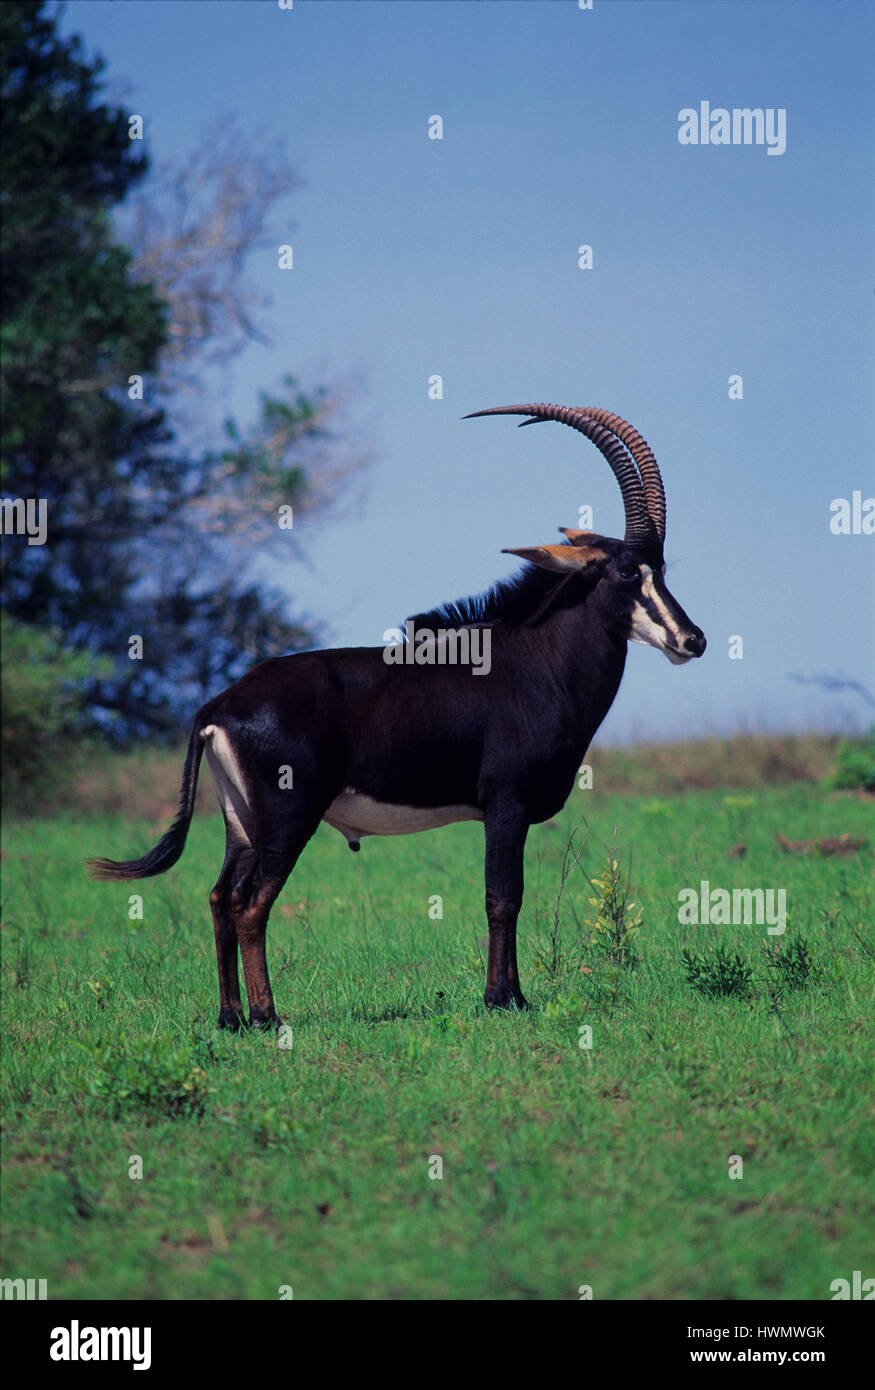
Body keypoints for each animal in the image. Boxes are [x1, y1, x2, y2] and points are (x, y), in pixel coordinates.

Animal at [88, 403, 706, 1026]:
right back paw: (268, 1016)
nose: (693, 640)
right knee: (251, 903)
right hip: (288, 819)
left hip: (241, 823)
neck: (534, 658)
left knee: (220, 897)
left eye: (661, 568)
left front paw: (516, 995)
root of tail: (219, 706)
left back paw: (232, 1018)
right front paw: (501, 999)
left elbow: (508, 897)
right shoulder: (505, 805)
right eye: (626, 572)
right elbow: (503, 898)